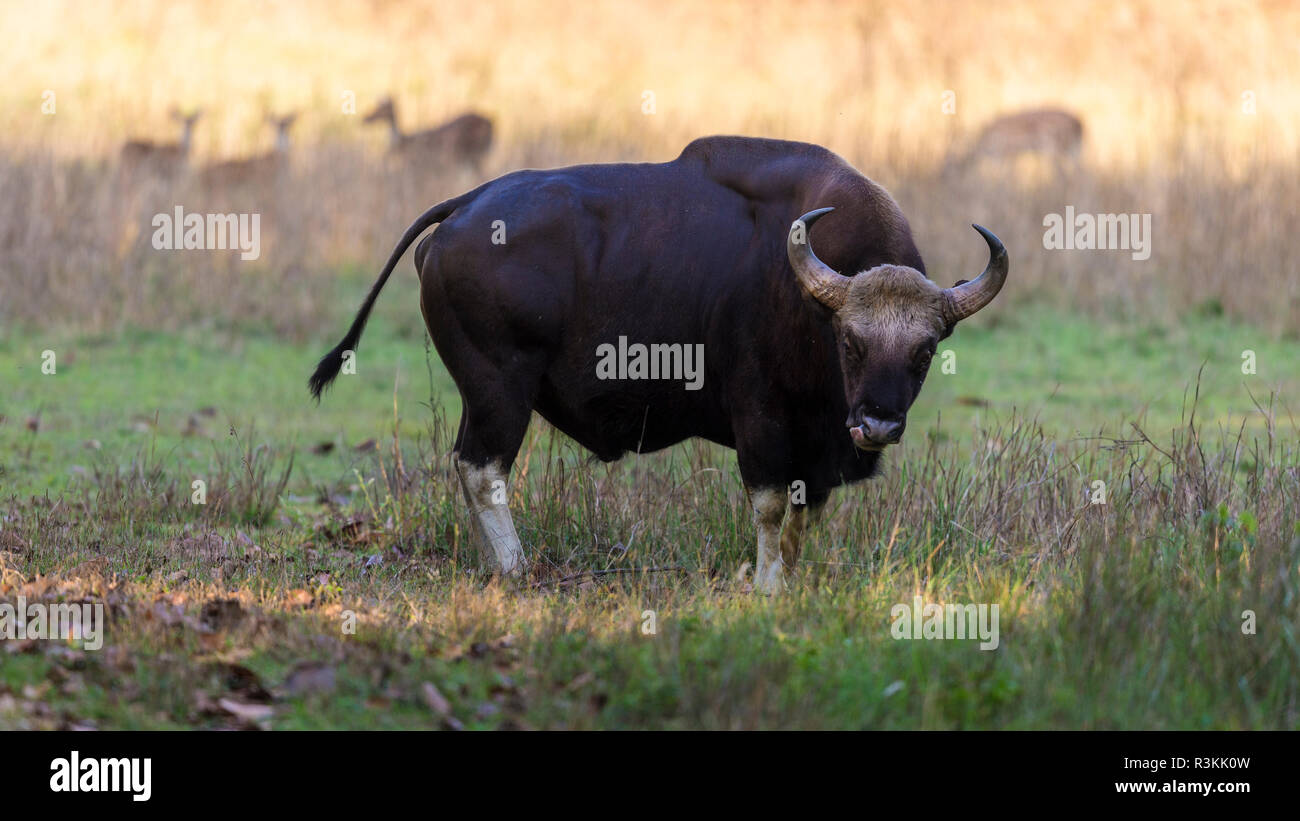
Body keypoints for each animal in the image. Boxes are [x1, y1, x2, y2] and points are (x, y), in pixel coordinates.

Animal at [310, 136, 1008, 592]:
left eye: (926, 351)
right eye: (851, 342)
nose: (880, 423)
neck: (803, 299)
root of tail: (465, 204)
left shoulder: (820, 443)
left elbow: (804, 512)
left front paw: (791, 580)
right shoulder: (761, 419)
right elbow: (770, 504)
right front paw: (767, 587)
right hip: (497, 388)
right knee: (482, 469)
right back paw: (515, 568)